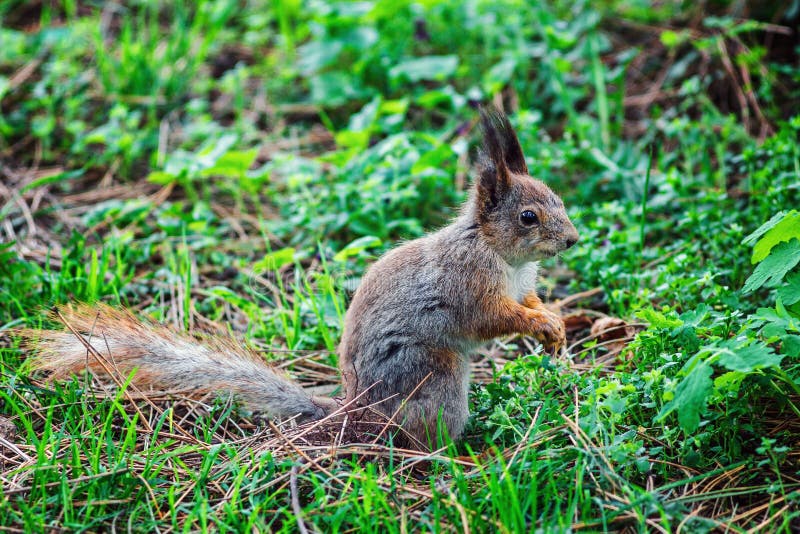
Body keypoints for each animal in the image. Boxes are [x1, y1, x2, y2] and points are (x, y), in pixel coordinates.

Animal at [18, 106, 578, 450]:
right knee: (421, 435)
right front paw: (538, 327)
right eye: (528, 216)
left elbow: (529, 302)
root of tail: (355, 412)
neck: (499, 253)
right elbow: (491, 318)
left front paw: (552, 322)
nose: (573, 239)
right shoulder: (469, 283)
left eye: (556, 197)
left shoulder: (522, 282)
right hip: (433, 375)